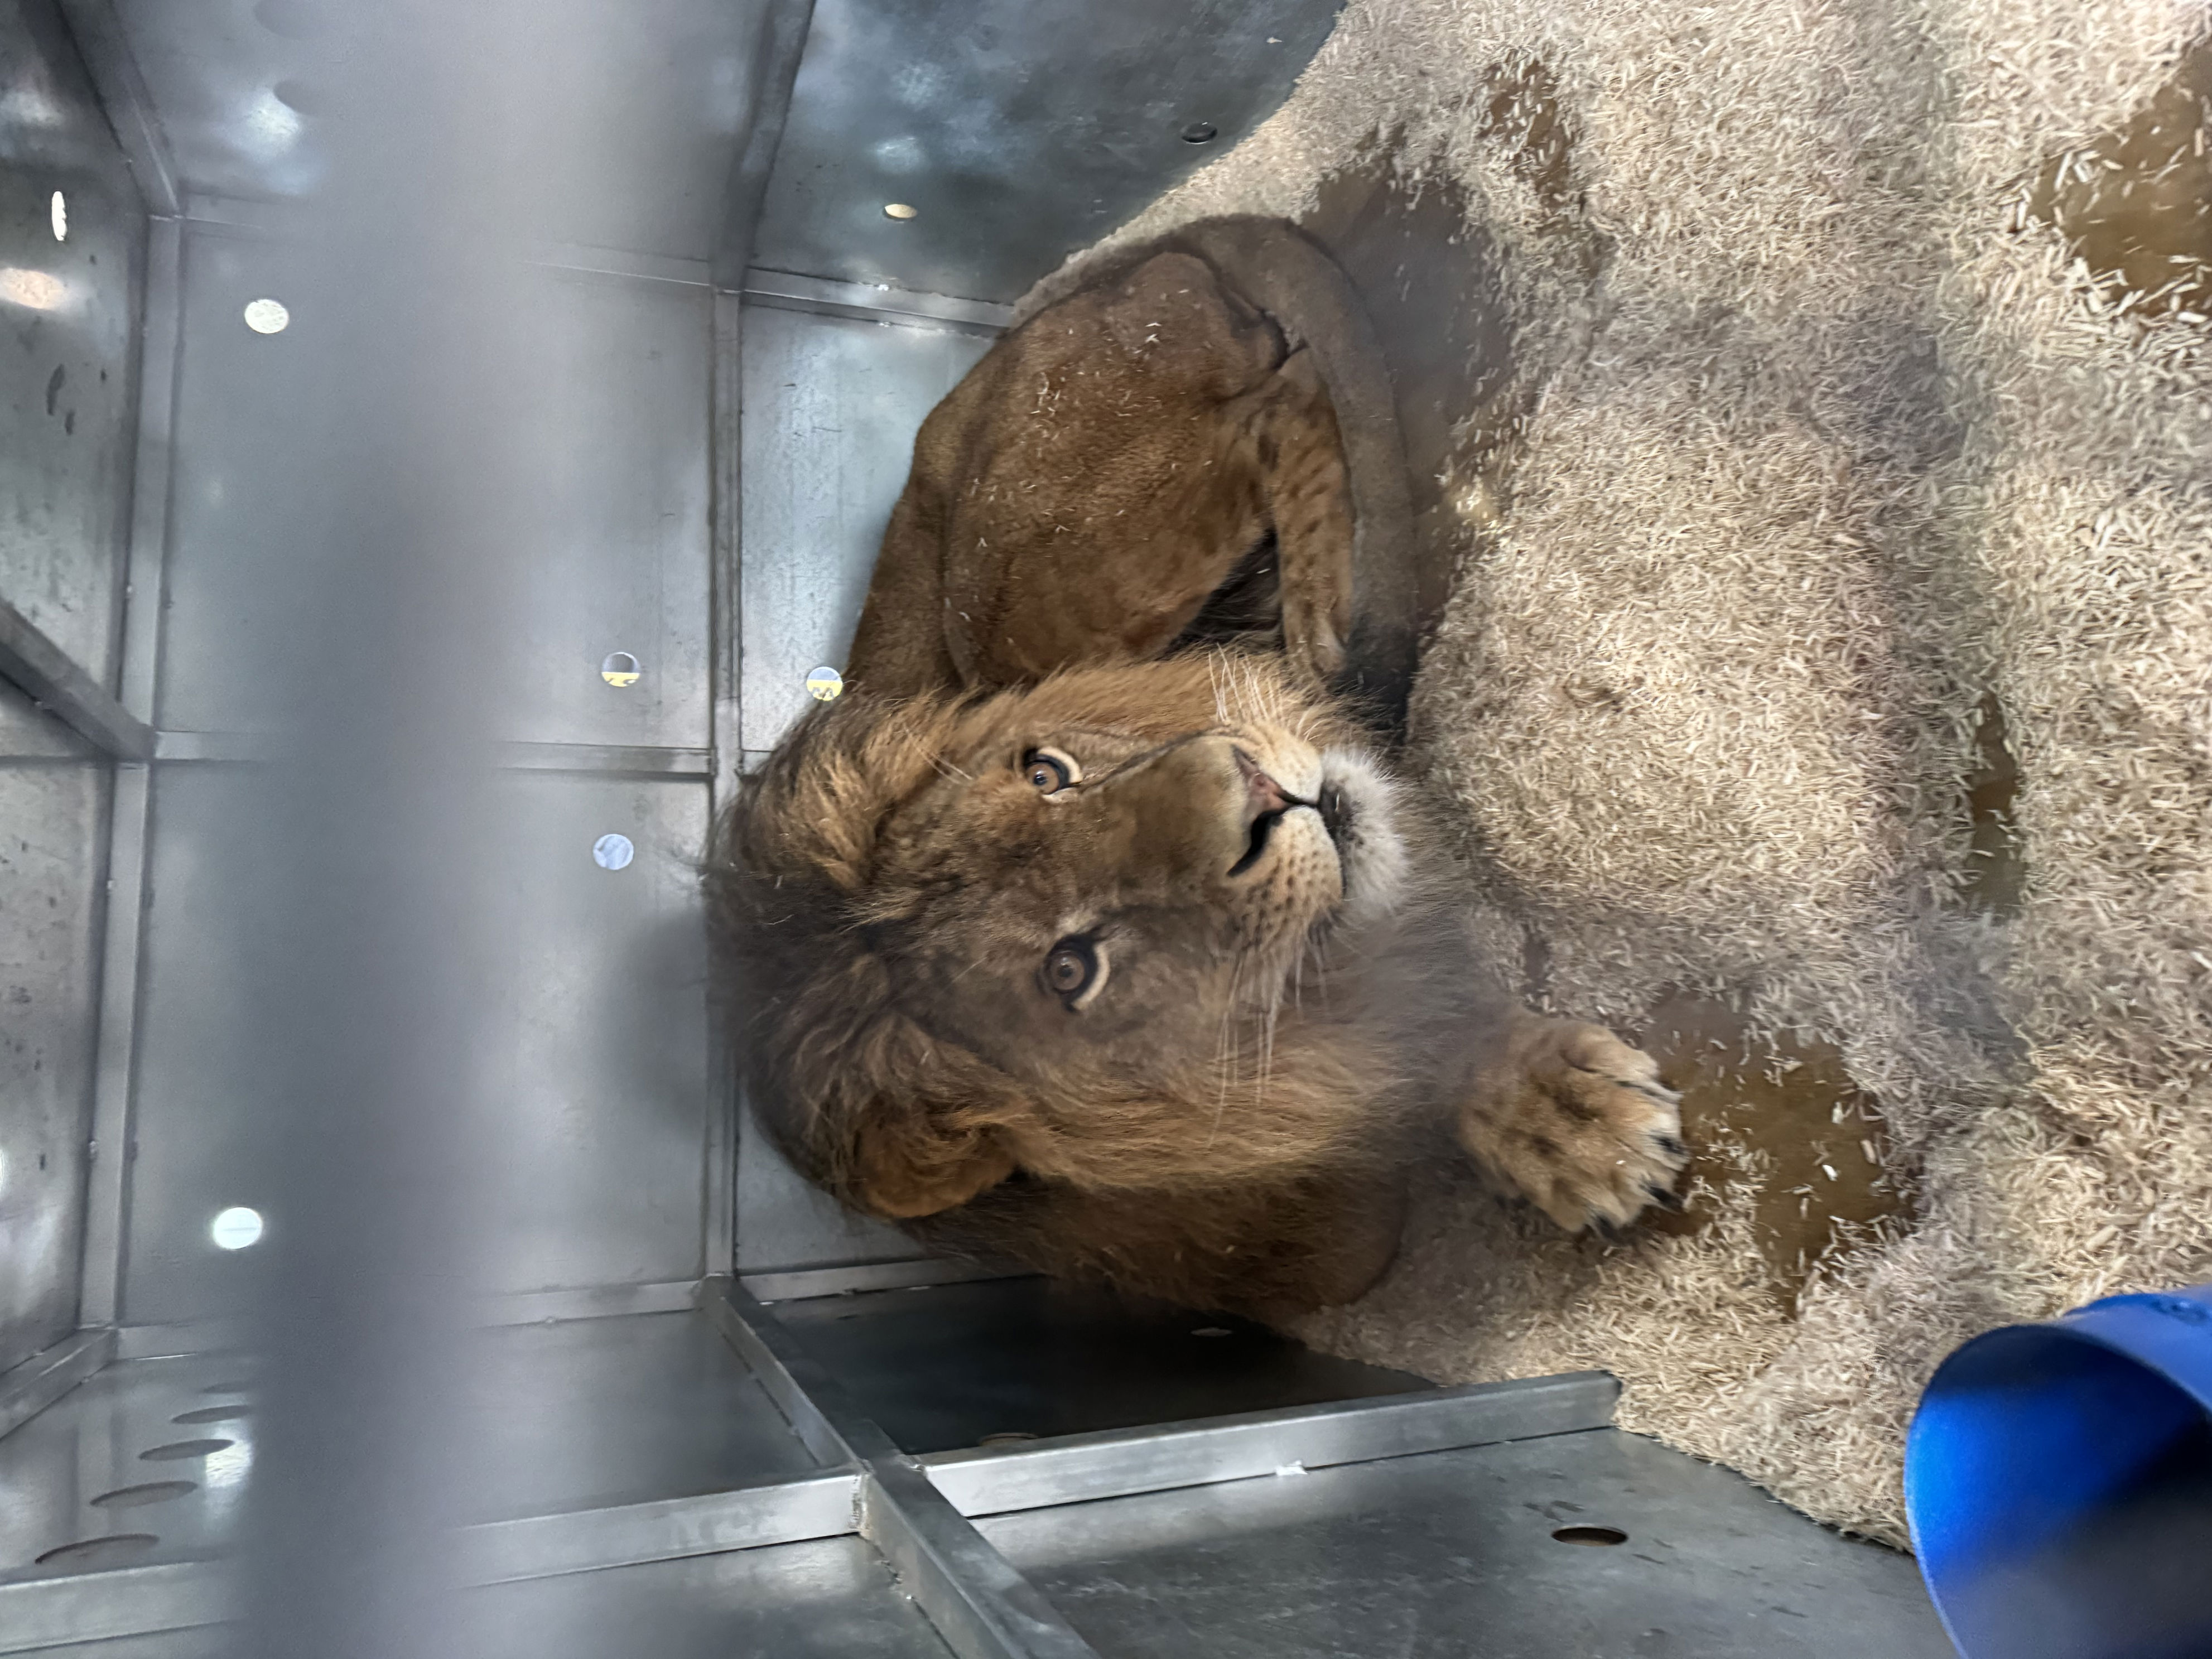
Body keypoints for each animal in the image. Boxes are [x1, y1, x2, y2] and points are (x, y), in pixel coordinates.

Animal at [706, 219, 1687, 1317]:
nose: (1259, 791)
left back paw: (1319, 630)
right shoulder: (1325, 1242)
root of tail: (1107, 278)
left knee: (1283, 398)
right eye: (1070, 969)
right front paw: (1565, 1124)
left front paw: (1561, 1109)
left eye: (1048, 773)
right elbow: (1405, 1059)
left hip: (1020, 602)